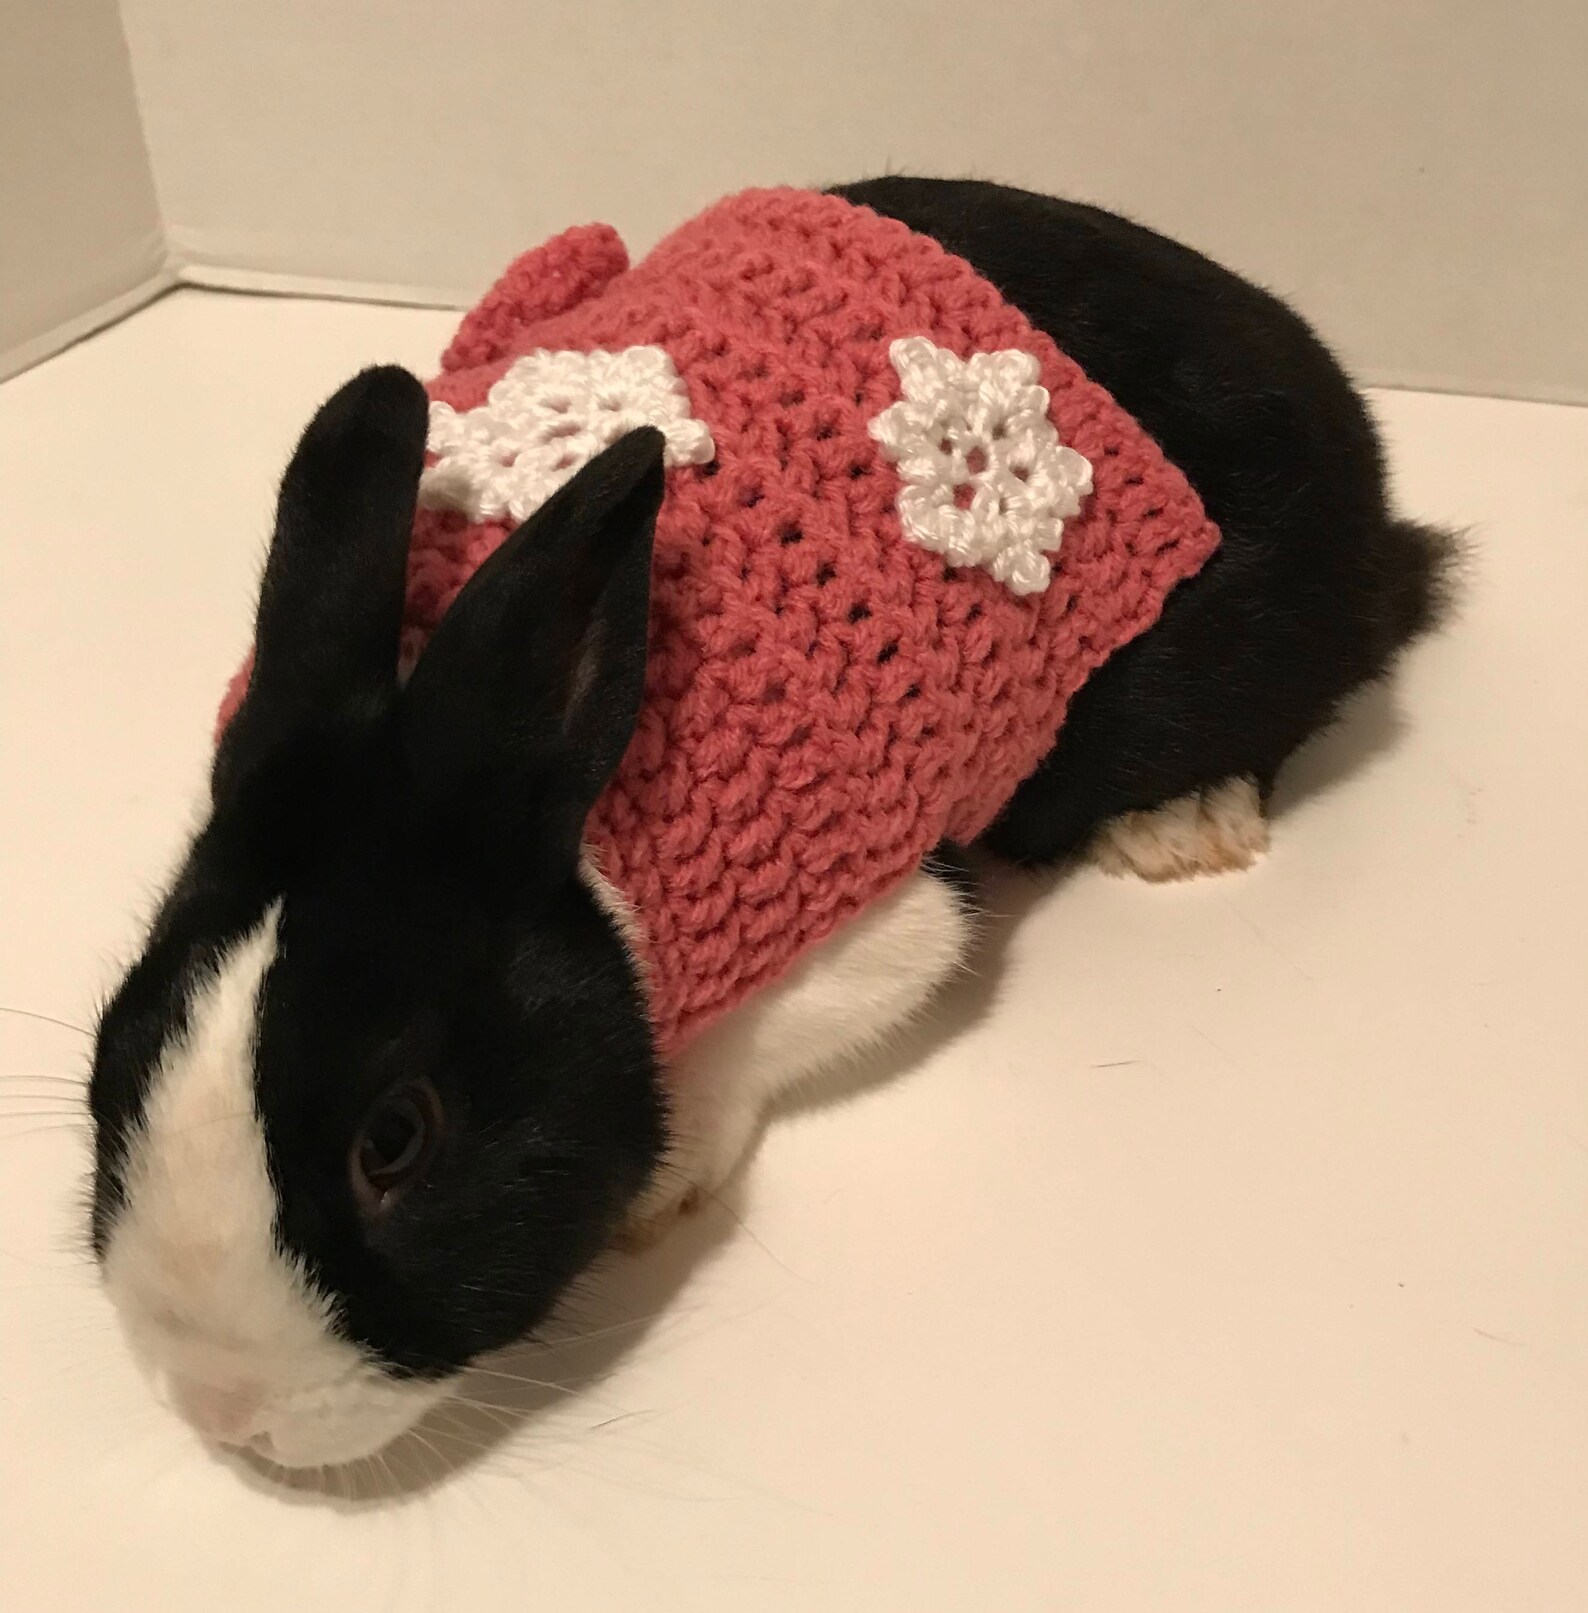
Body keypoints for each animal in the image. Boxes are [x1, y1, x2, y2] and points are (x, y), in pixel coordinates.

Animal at [86, 178, 1454, 1469]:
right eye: (120, 1036)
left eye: (396, 1137)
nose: (221, 1410)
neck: (593, 825)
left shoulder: (880, 912)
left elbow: (772, 1037)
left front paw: (661, 1186)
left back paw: (1182, 824)